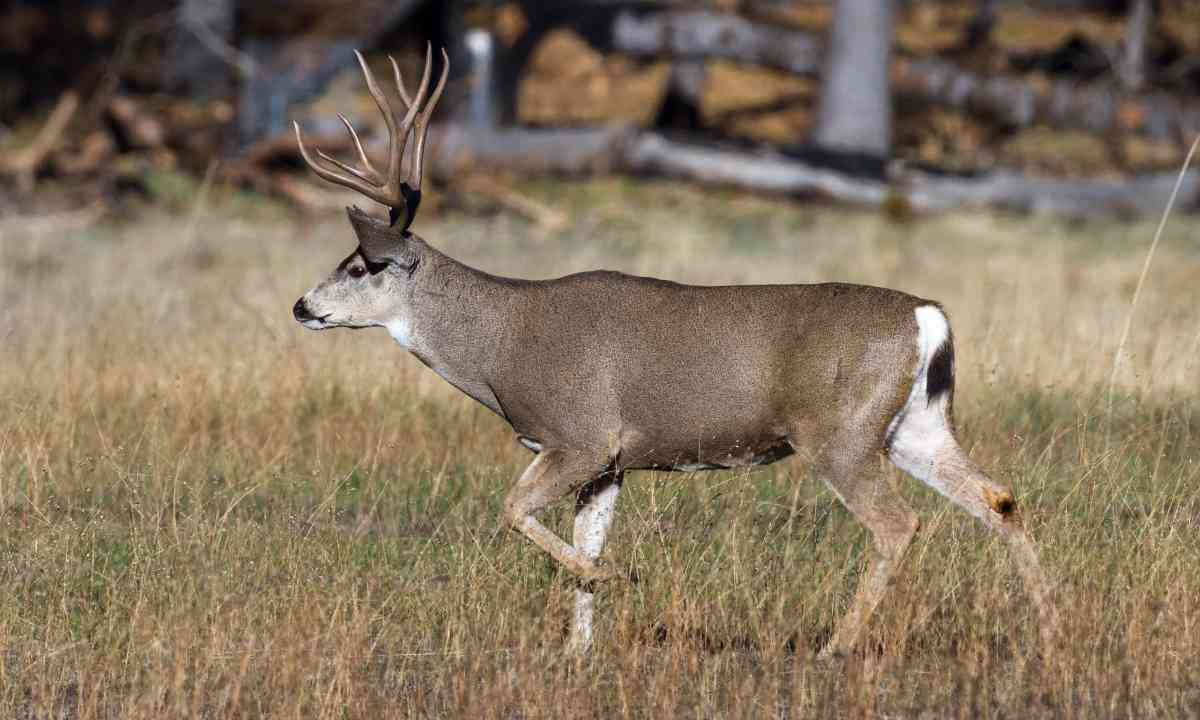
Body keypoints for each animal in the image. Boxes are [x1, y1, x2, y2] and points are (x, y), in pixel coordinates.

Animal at [290, 46, 1060, 657]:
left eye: (358, 266)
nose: (302, 306)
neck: (499, 345)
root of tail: (926, 317)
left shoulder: (579, 435)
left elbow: (513, 512)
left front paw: (614, 580)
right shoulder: (610, 461)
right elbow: (582, 539)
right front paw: (578, 649)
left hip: (838, 432)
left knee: (899, 525)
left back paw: (835, 648)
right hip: (913, 426)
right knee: (999, 499)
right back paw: (1049, 629)